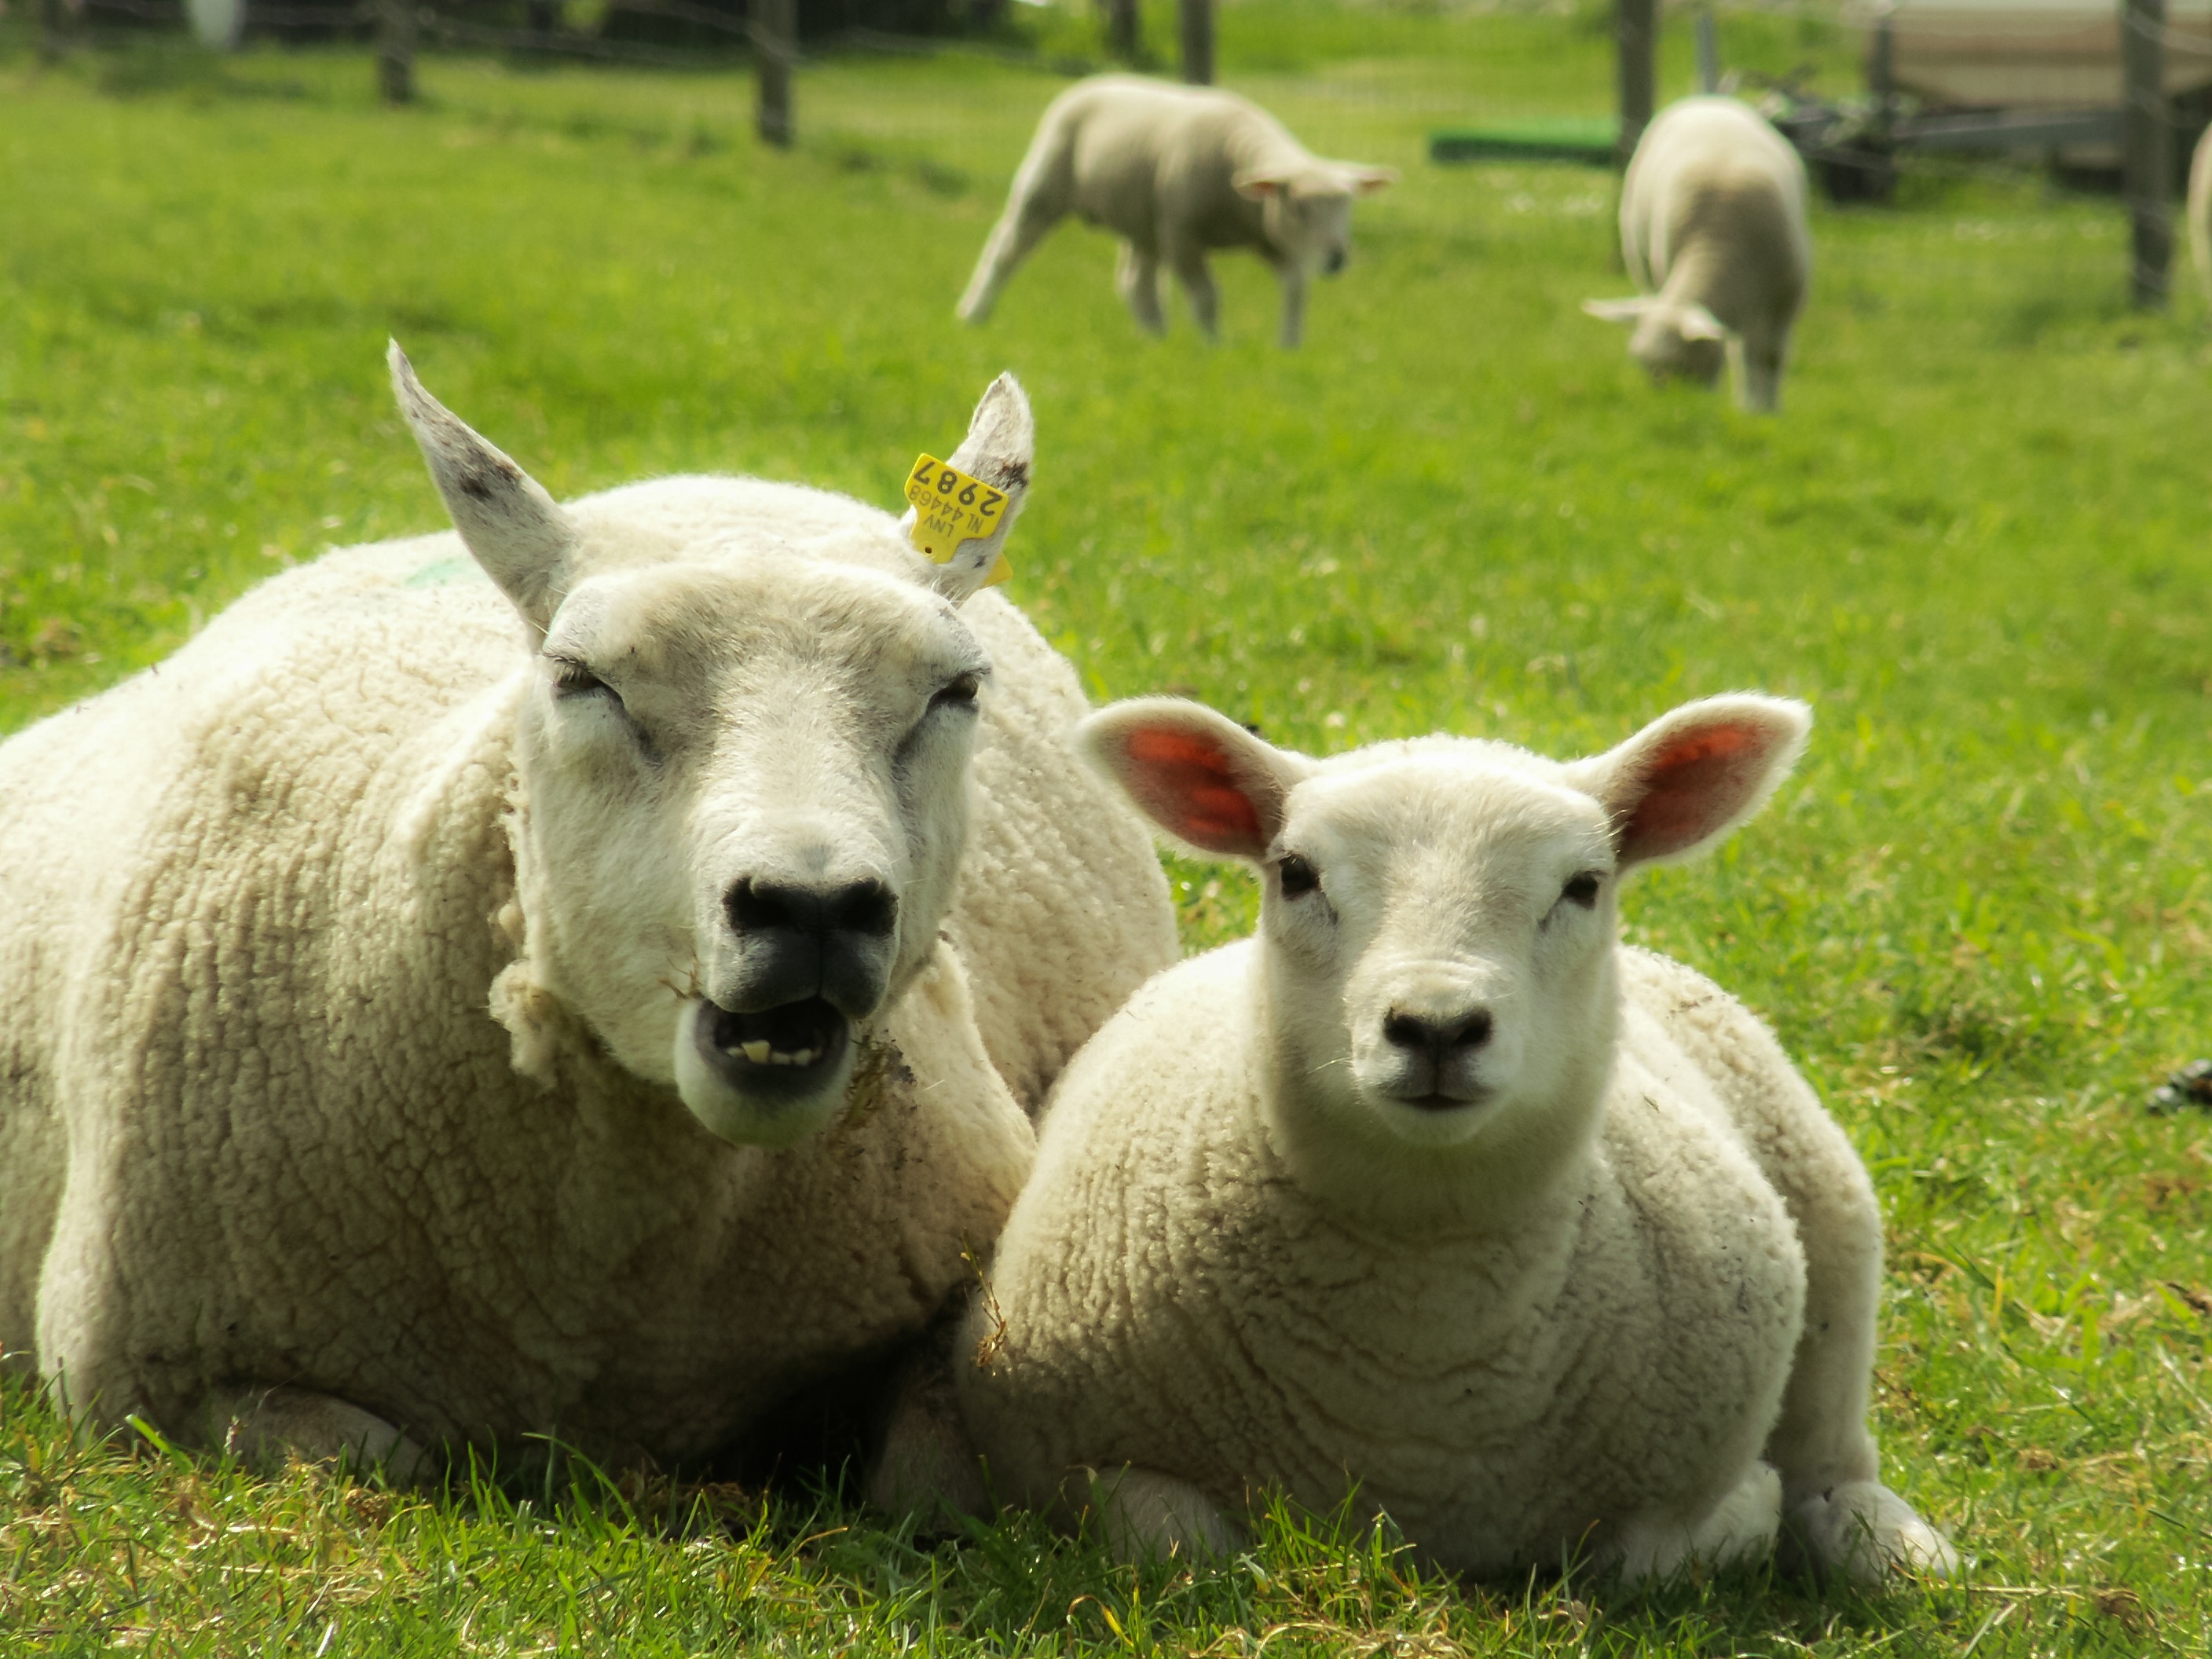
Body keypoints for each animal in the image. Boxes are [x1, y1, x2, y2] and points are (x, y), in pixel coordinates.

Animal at [0, 347, 1177, 1479]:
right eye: (580, 678)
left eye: (956, 692)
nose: (810, 909)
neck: (607, 1288)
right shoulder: (139, 1387)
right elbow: (380, 1454)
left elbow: (923, 1474)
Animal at [955, 694, 1957, 1583]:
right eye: (1295, 874)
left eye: (1583, 885)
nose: (1435, 1027)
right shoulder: (1063, 1463)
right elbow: (1178, 1544)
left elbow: (1655, 1556)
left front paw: (1753, 1511)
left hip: (1827, 1212)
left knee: (1831, 1447)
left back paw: (1890, 1550)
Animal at [956, 75, 1396, 349]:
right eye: (1301, 208)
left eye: (1349, 206)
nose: (1337, 258)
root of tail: (1097, 80)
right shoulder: (1182, 235)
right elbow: (1207, 299)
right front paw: (1214, 348)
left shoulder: (1270, 240)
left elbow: (1295, 291)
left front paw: (1288, 347)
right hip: (1045, 186)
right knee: (1007, 251)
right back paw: (973, 314)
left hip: (1143, 218)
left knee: (1137, 283)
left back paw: (1156, 340)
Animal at [1584, 96, 1812, 413]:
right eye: (1646, 370)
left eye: (1683, 365)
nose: (1677, 408)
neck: (1717, 242)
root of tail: (1708, 101)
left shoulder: (1786, 296)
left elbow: (1769, 355)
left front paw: (1764, 412)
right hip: (1645, 265)